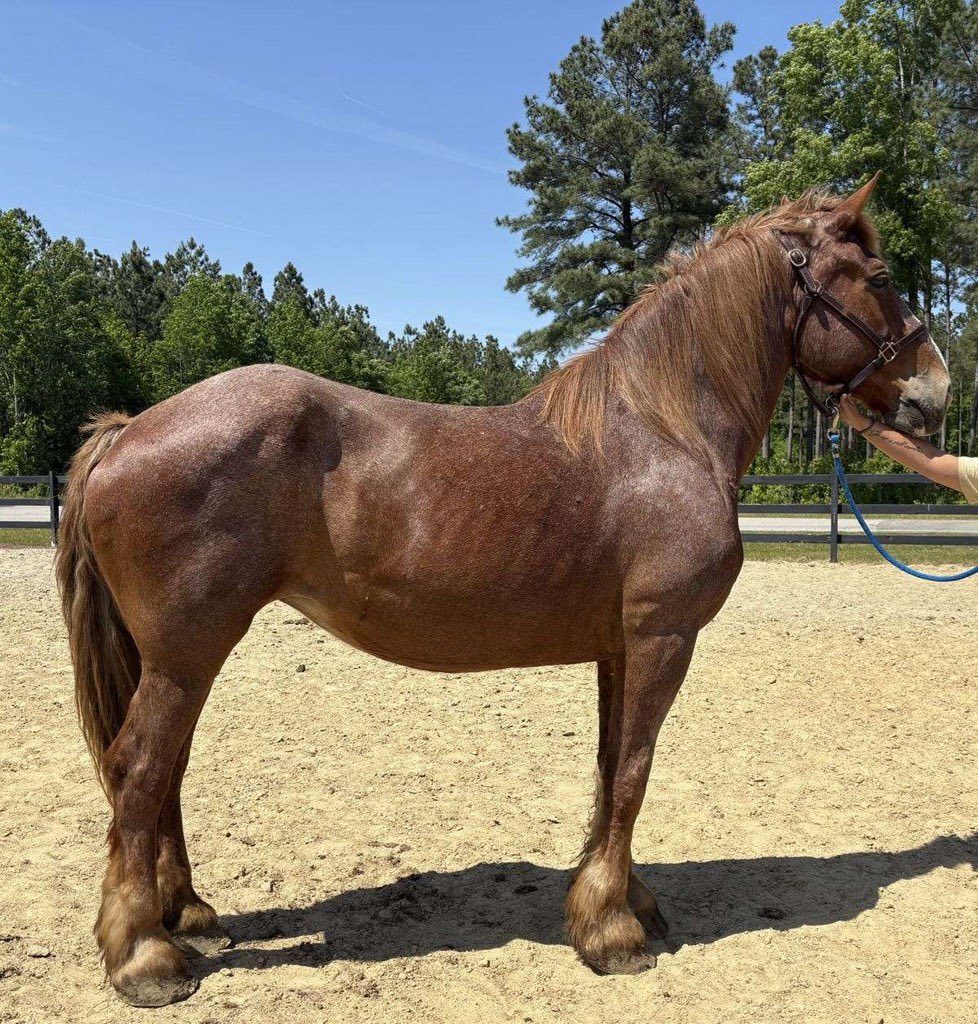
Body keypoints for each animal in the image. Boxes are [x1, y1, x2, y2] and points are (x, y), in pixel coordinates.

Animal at [55, 175, 950, 1006]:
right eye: (878, 275)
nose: (934, 394)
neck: (663, 430)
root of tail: (127, 432)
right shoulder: (663, 636)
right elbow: (635, 769)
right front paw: (613, 932)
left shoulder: (619, 647)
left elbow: (610, 766)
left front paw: (621, 901)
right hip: (187, 652)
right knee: (139, 768)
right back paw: (144, 955)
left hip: (178, 657)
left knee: (164, 774)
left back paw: (186, 915)